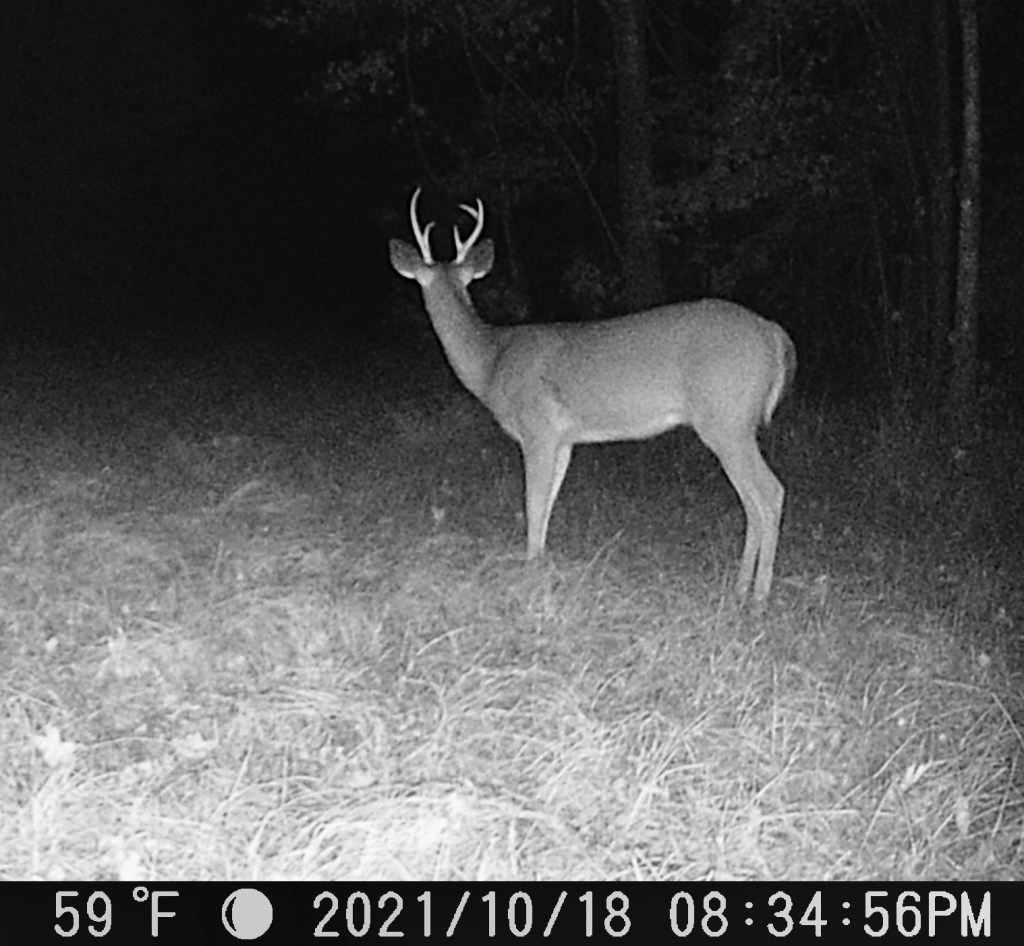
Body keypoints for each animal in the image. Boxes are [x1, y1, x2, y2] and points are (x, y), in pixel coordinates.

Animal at [389, 189, 796, 604]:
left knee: (770, 493)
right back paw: (741, 587)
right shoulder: (564, 440)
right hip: (734, 423)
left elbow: (533, 502)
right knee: (753, 500)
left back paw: (759, 596)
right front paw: (542, 563)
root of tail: (773, 333)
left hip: (727, 418)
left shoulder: (537, 428)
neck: (492, 362)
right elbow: (548, 503)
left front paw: (529, 571)